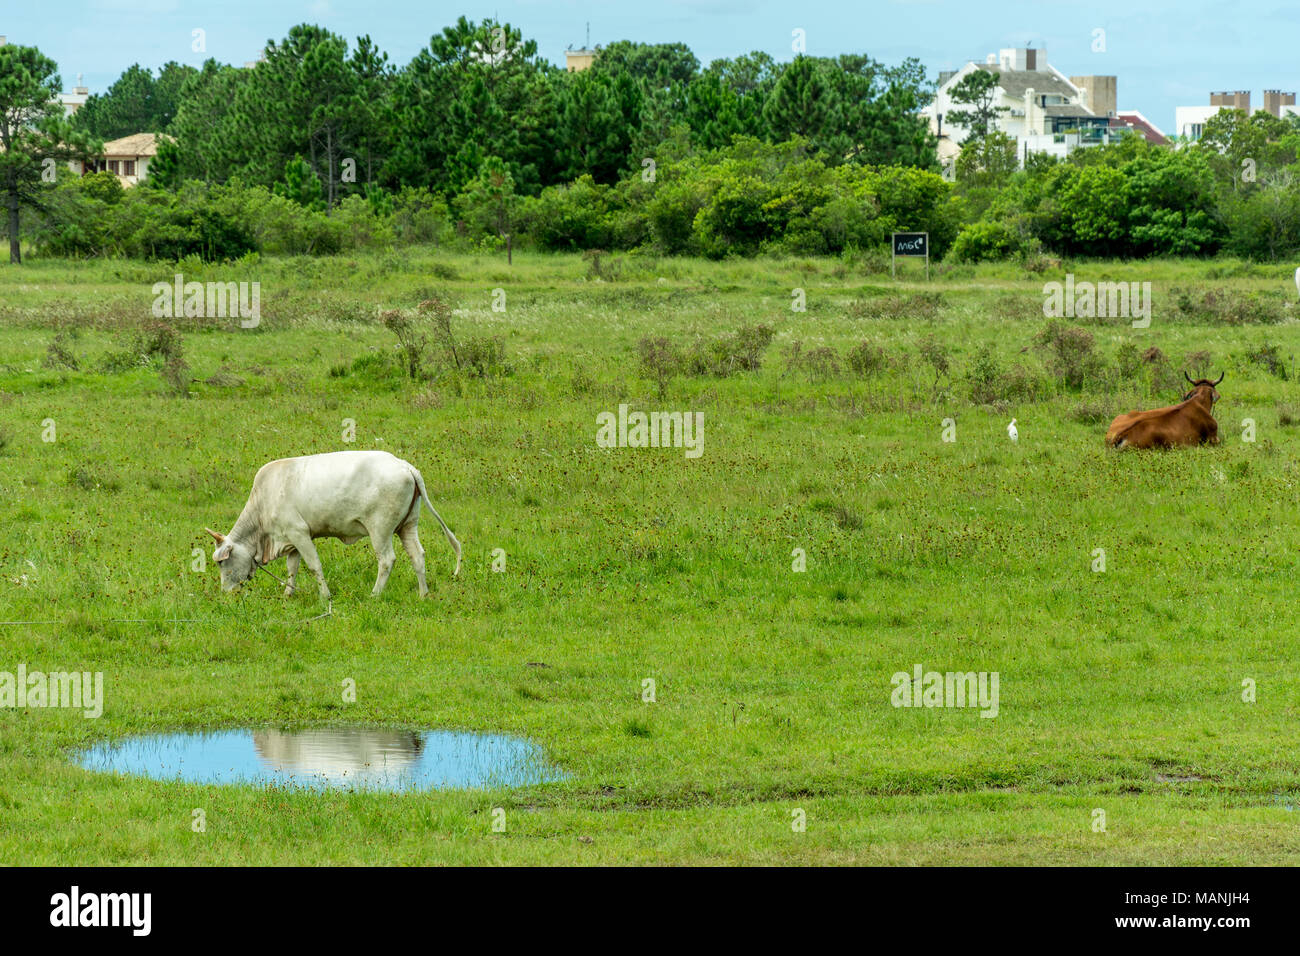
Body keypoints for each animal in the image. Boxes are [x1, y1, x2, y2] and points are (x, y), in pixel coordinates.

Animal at [205, 450, 461, 600]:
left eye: (222, 562)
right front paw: (288, 594)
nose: (226, 593)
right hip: (407, 525)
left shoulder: (299, 533)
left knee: (387, 560)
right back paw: (423, 594)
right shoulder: (292, 539)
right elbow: (292, 568)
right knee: (417, 555)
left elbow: (314, 566)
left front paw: (325, 596)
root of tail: (404, 465)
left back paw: (374, 595)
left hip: (380, 530)